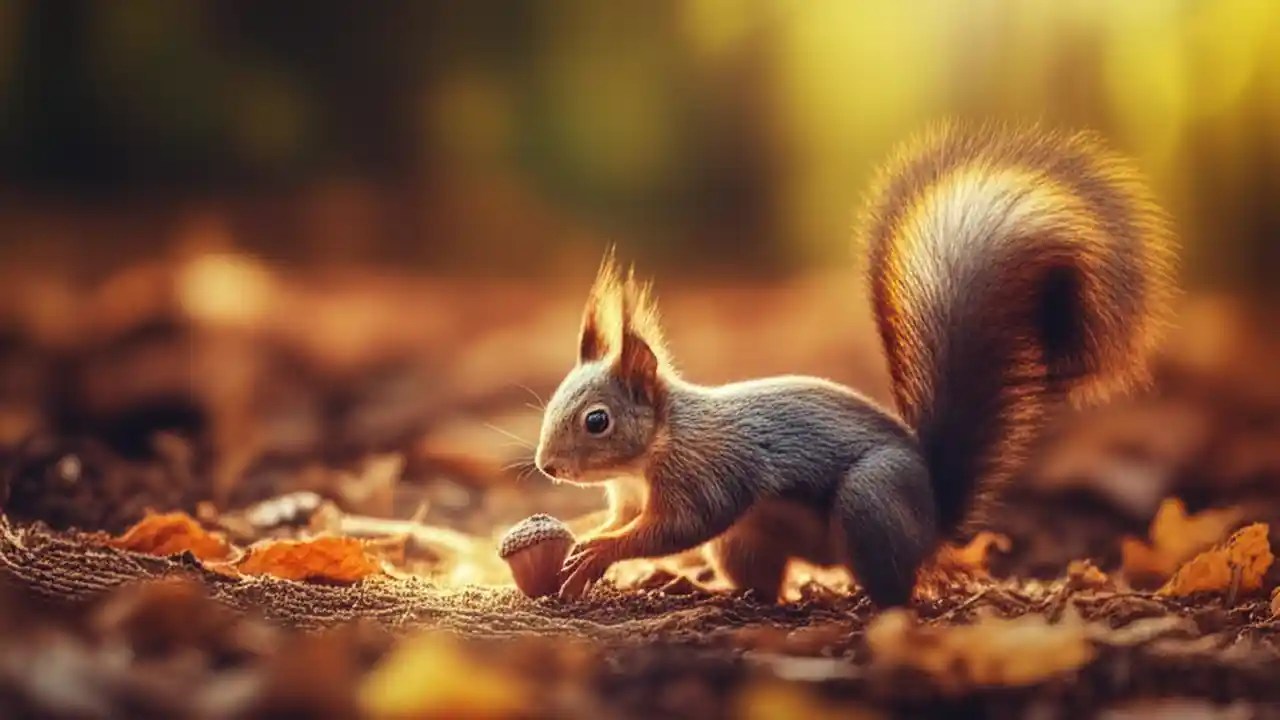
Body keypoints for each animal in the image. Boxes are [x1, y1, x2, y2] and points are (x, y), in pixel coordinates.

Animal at [534, 123, 1176, 606]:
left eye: (597, 420)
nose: (546, 466)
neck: (652, 450)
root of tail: (932, 523)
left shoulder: (708, 470)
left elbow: (680, 525)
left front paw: (602, 551)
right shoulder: (628, 496)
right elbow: (626, 520)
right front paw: (587, 536)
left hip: (870, 502)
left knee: (893, 585)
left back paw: (867, 602)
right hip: (749, 540)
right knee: (765, 582)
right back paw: (730, 595)